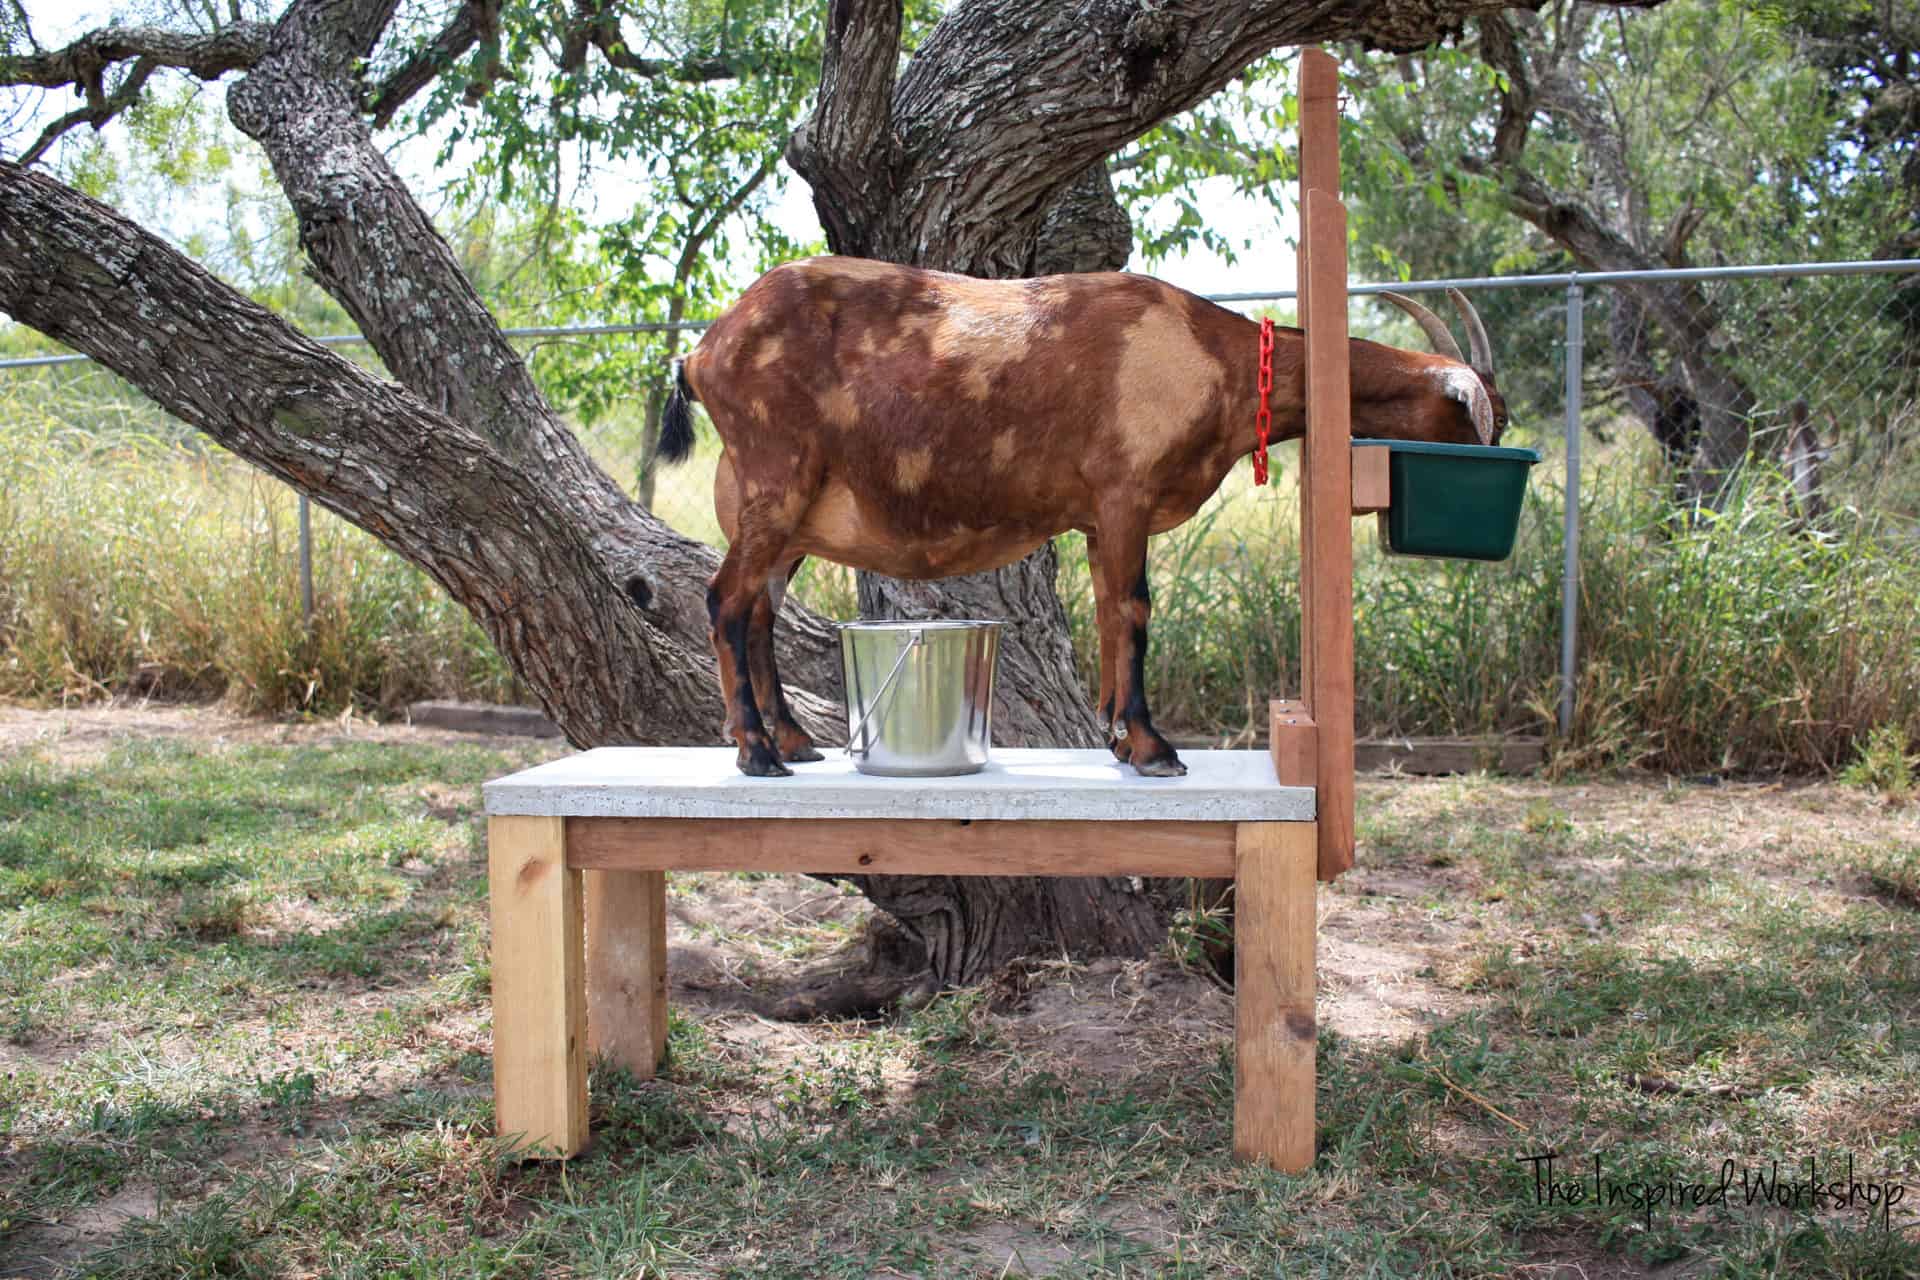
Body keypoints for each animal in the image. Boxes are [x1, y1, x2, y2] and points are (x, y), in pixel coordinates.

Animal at [659, 256, 1505, 778]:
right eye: (1474, 420)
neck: (1213, 355)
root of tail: (702, 352)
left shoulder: (1101, 518)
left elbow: (1104, 610)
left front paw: (1116, 736)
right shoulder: (1125, 492)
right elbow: (1133, 610)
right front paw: (1152, 746)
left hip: (781, 509)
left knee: (758, 611)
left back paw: (795, 742)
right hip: (775, 477)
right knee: (724, 601)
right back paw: (755, 753)